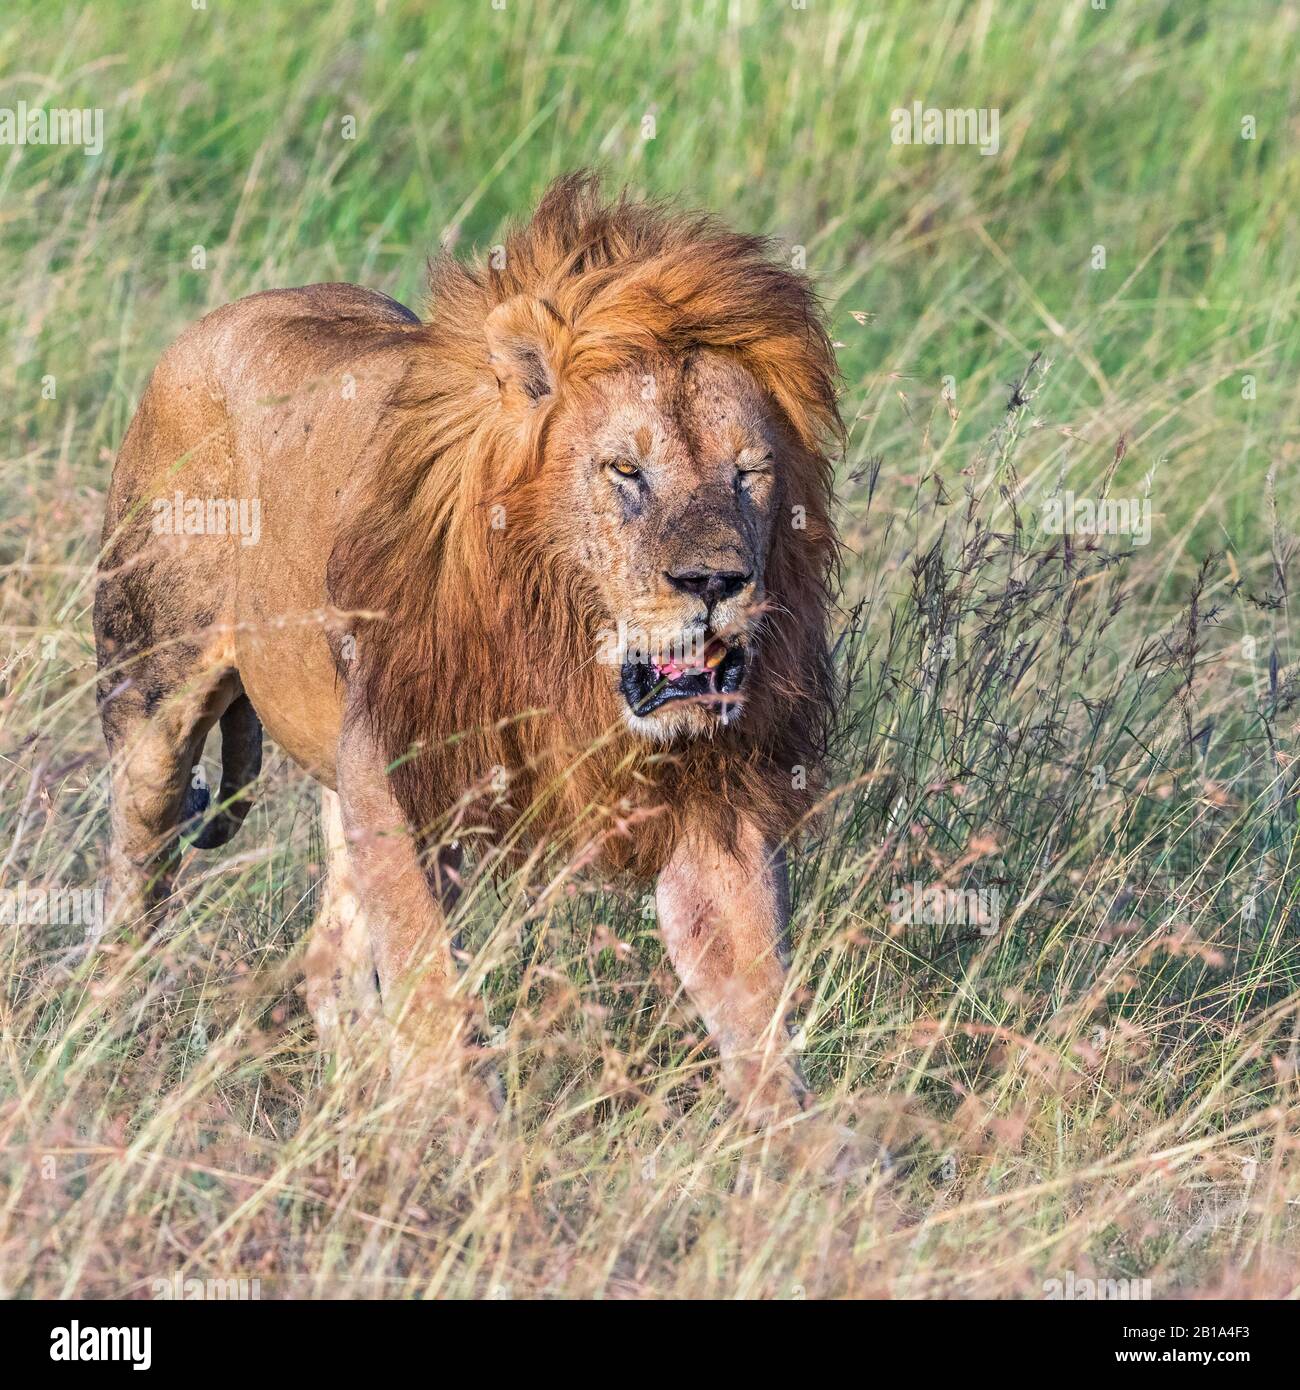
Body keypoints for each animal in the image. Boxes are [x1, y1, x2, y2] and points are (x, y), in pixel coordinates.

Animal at [94, 172, 841, 1121]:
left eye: (749, 473)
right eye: (625, 471)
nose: (714, 583)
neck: (559, 635)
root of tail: (220, 319)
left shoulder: (712, 796)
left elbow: (755, 1005)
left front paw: (811, 1151)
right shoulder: (395, 767)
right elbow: (432, 997)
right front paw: (470, 1141)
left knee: (329, 959)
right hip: (149, 691)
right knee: (135, 882)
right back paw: (109, 1045)